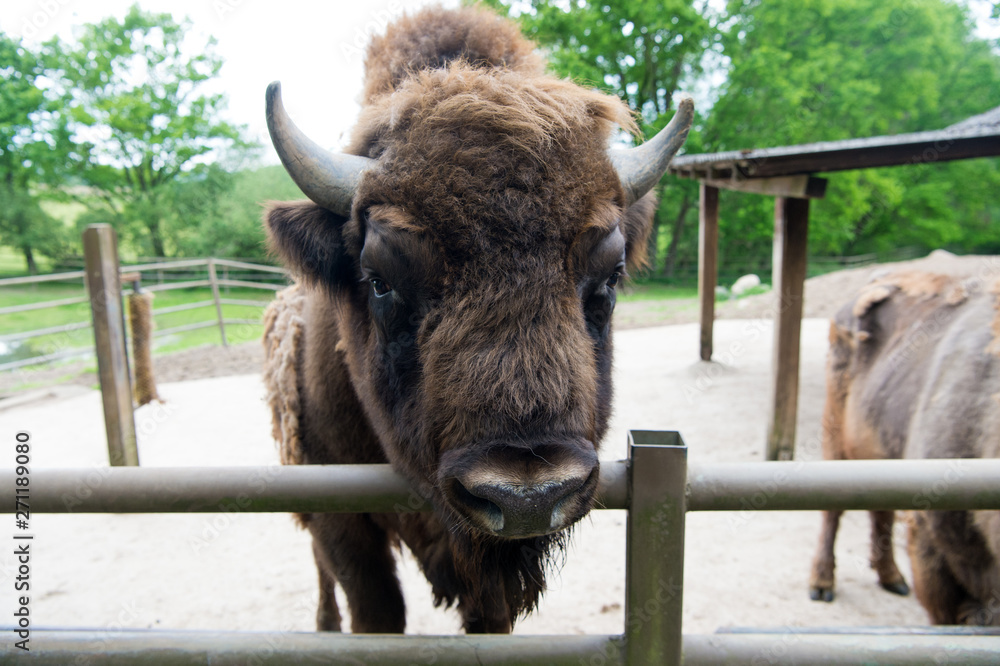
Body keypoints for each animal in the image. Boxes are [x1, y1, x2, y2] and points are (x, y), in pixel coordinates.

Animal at [808, 270, 1000, 625]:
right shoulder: (932, 550)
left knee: (880, 511)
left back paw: (892, 579)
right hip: (835, 434)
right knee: (834, 510)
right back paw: (821, 584)